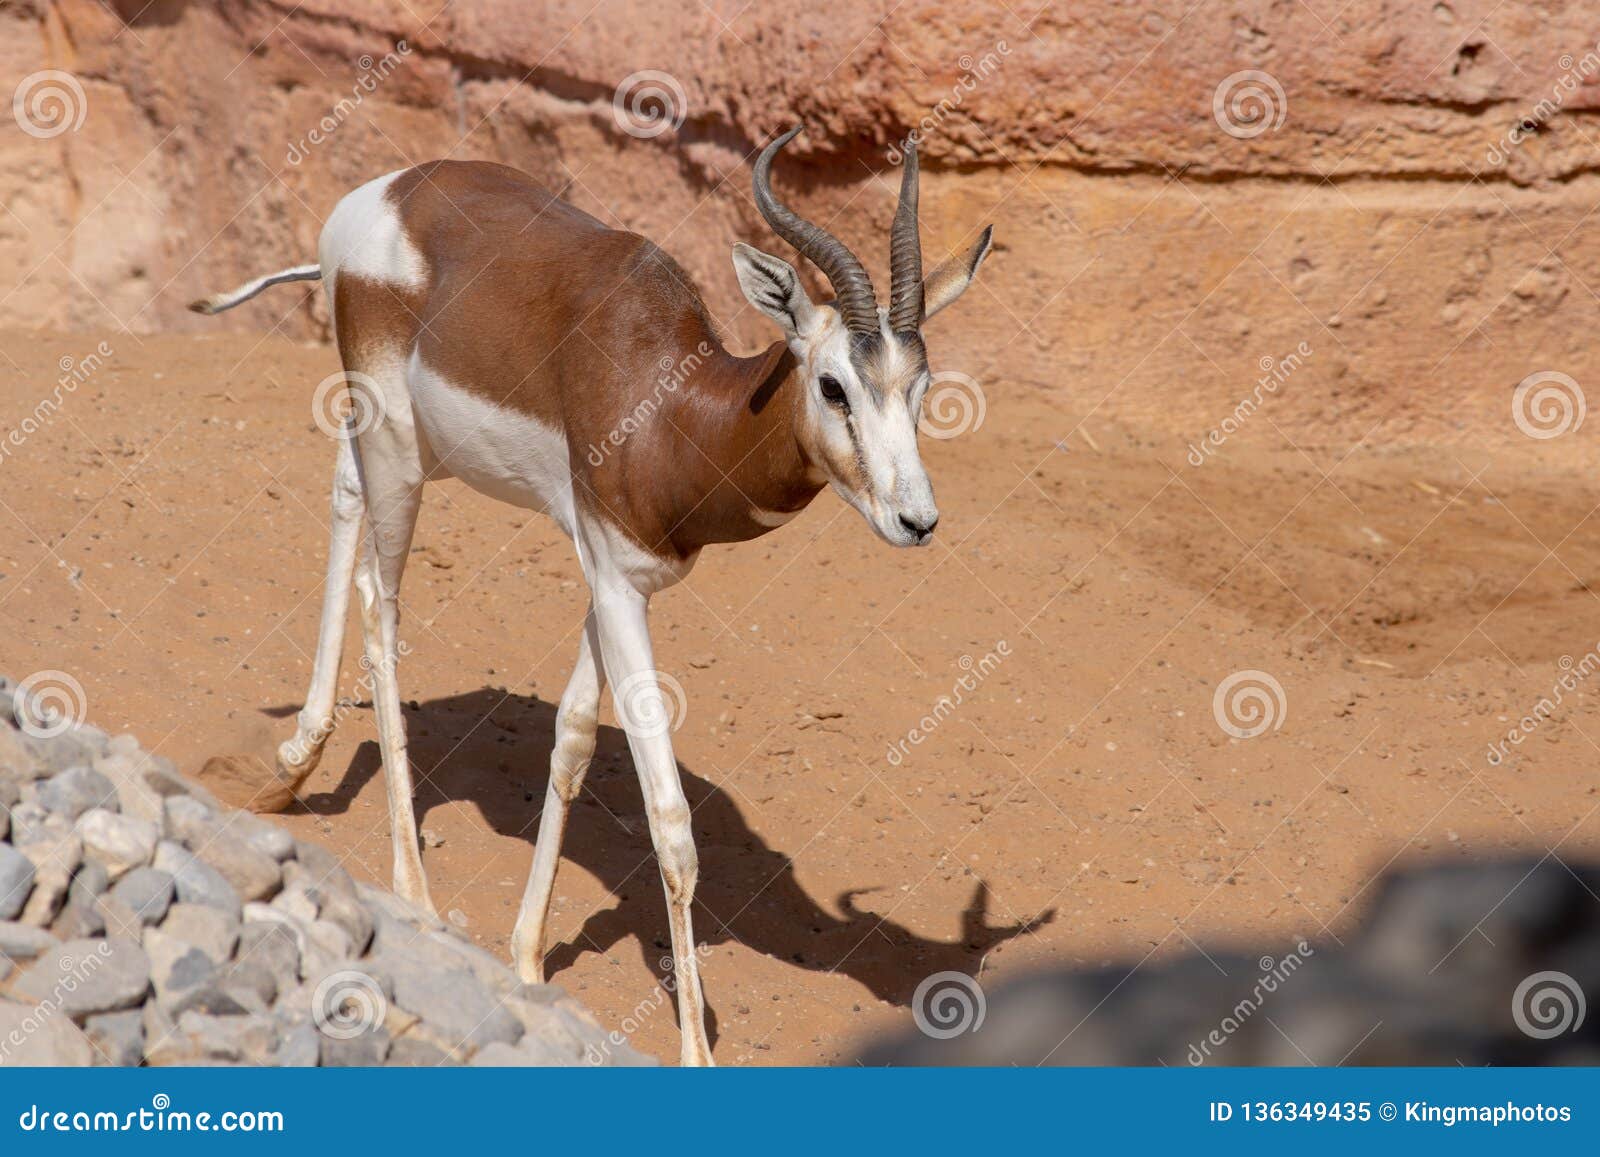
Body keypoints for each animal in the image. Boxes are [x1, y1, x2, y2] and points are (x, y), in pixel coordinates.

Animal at [190, 126, 992, 1066]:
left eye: (922, 384)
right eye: (834, 385)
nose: (917, 520)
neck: (668, 407)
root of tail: (380, 193)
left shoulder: (613, 577)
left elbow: (571, 739)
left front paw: (528, 955)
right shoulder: (616, 587)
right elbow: (670, 821)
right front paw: (695, 1050)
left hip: (394, 445)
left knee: (342, 500)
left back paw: (290, 770)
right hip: (397, 448)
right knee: (379, 609)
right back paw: (412, 892)